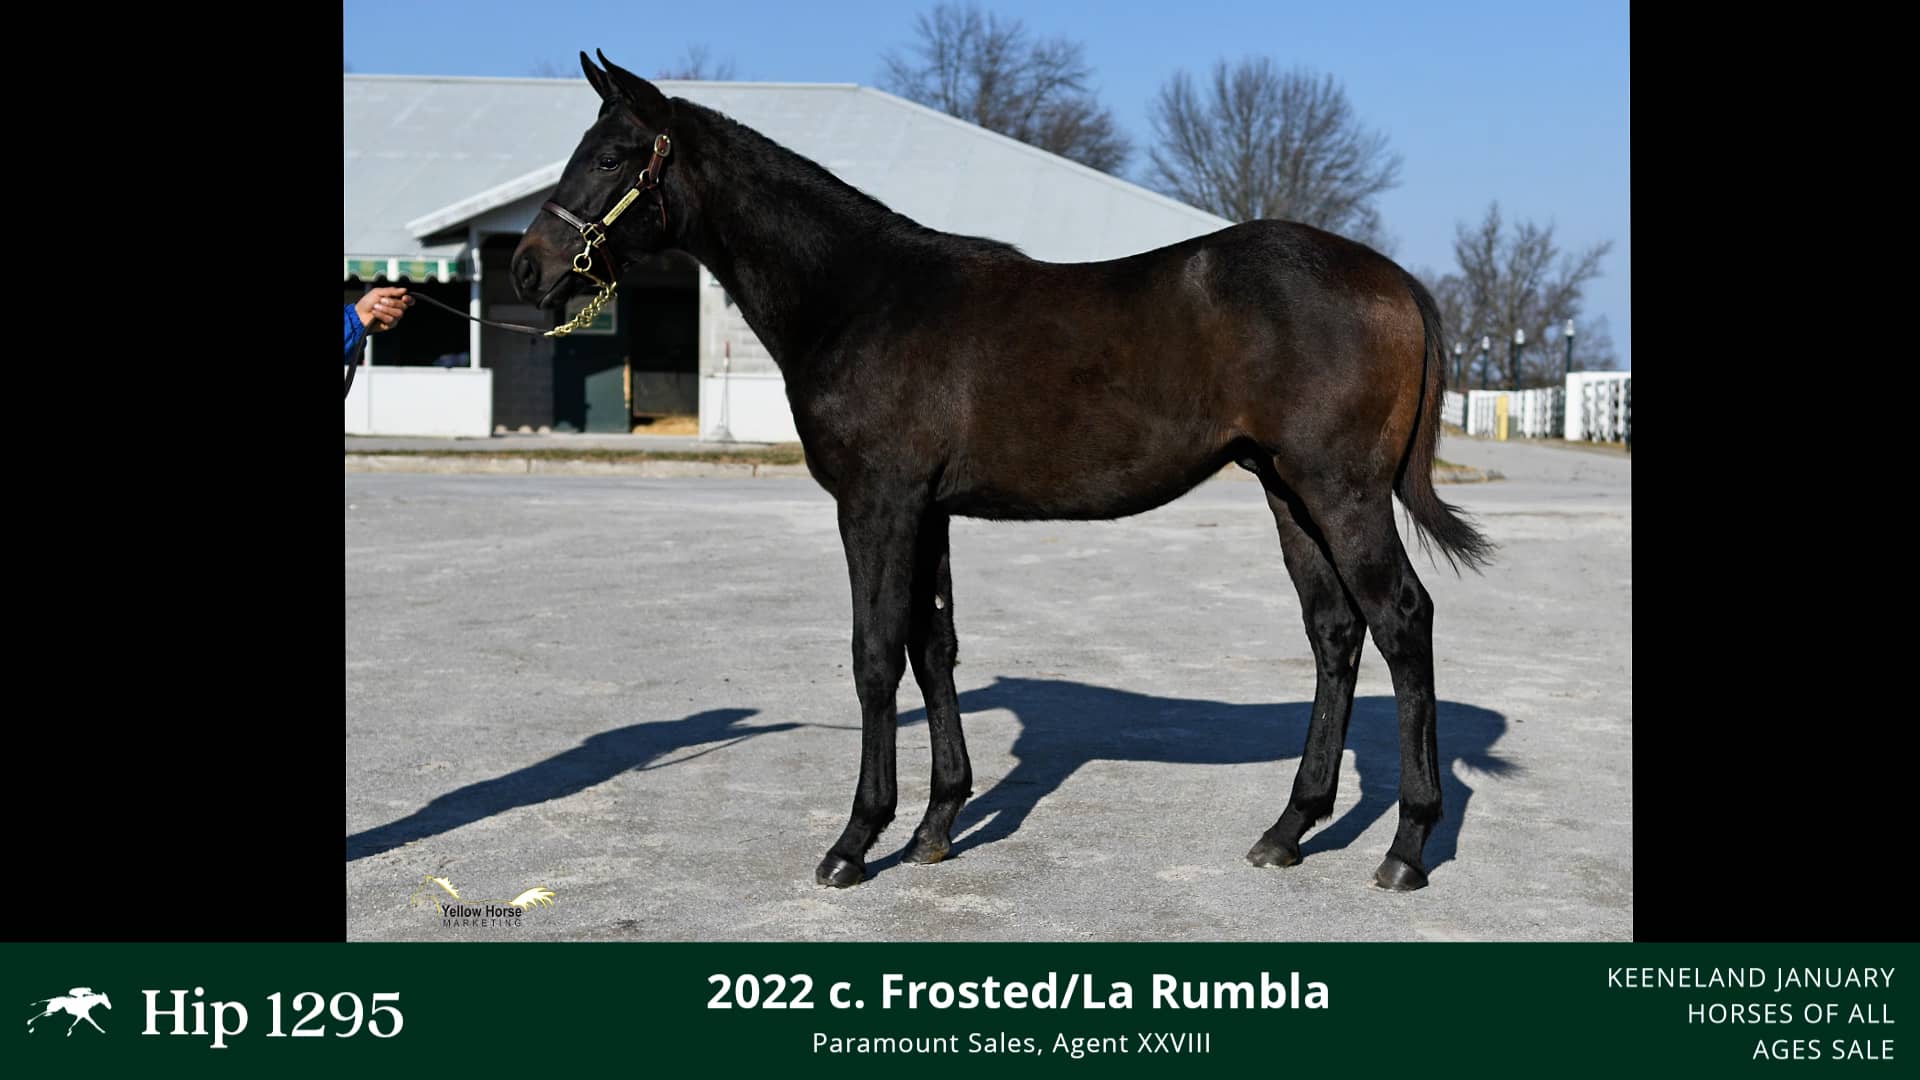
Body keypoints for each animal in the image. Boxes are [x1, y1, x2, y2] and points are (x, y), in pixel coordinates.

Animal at [511, 51, 1494, 893]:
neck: (861, 296)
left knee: (1402, 620)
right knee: (1335, 632)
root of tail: (1394, 280)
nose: (527, 268)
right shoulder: (928, 511)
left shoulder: (876, 504)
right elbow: (932, 646)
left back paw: (1407, 847)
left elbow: (875, 655)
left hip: (1341, 491)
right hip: (1289, 491)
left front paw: (855, 840)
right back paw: (1289, 829)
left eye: (610, 155)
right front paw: (937, 824)